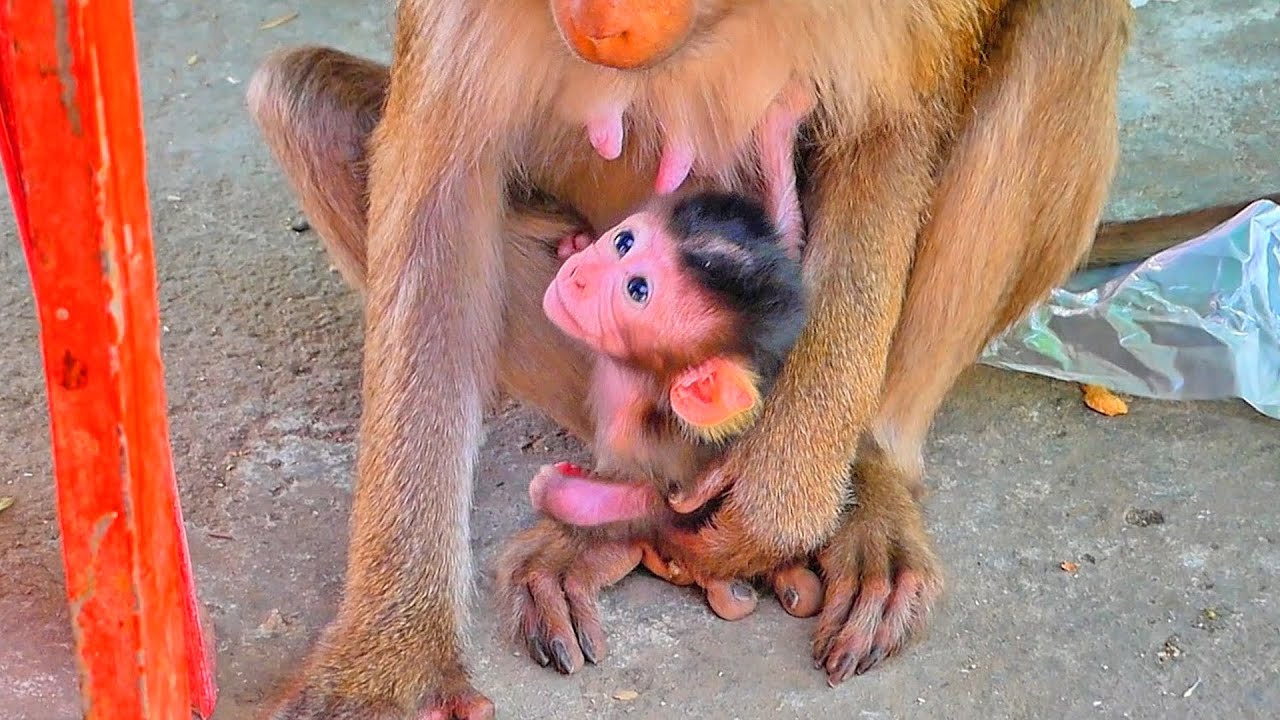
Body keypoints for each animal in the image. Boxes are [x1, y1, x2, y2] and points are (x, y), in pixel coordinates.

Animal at [247, 1, 1147, 717]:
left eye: (640, 281)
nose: (595, 17)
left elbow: (891, 120)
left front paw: (780, 506)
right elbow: (440, 177)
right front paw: (385, 660)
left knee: (1071, 19)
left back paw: (870, 478)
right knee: (303, 99)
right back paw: (629, 506)